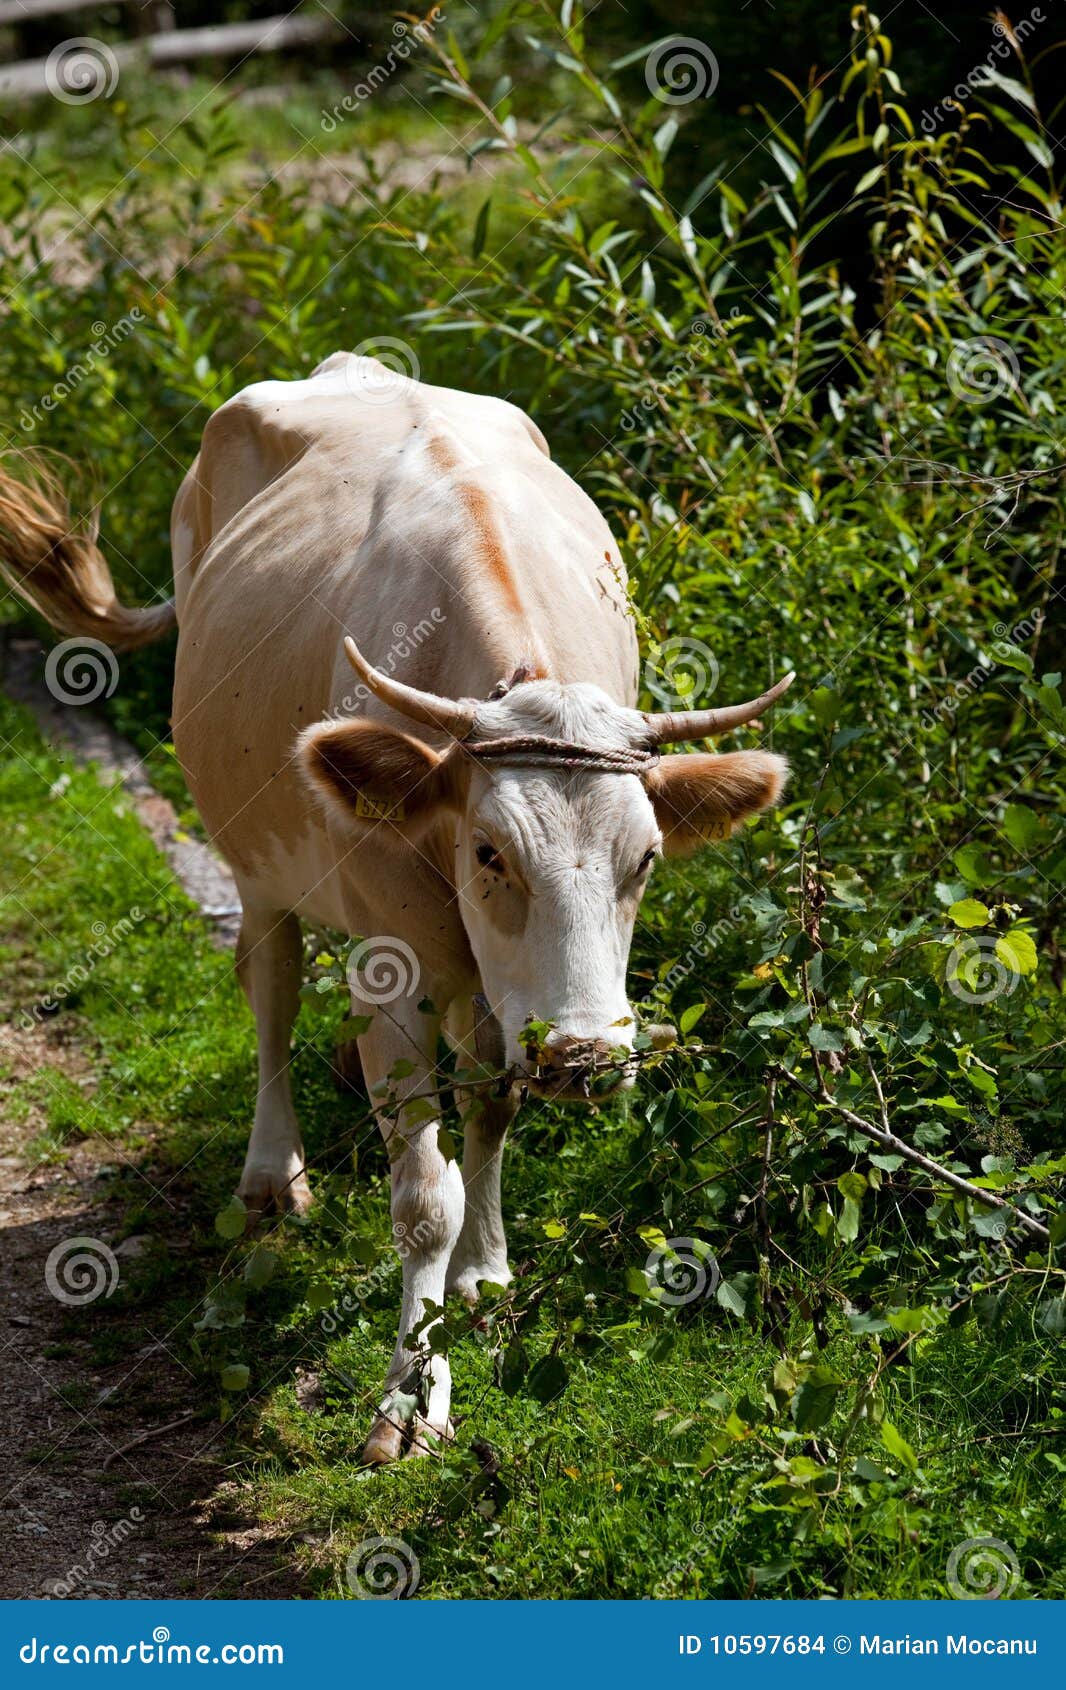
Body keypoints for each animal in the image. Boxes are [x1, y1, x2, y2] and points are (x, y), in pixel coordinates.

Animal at [0, 352, 792, 1462]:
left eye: (644, 860)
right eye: (490, 851)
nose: (586, 1056)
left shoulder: (503, 995)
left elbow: (491, 1110)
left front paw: (484, 1276)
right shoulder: (399, 969)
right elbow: (422, 1198)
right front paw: (409, 1397)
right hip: (259, 861)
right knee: (272, 980)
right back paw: (270, 1176)